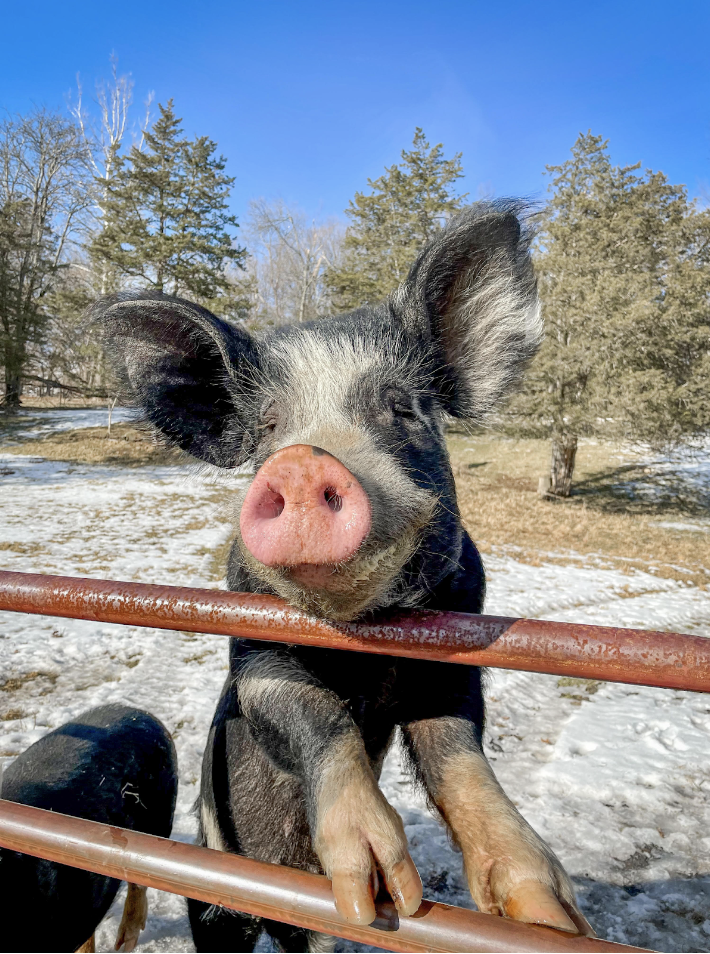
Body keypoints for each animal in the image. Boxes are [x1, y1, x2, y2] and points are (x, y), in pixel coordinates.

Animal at [93, 201, 594, 952]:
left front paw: (550, 915)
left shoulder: (452, 653)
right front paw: (377, 892)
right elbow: (310, 710)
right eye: (269, 427)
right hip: (211, 903)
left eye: (402, 407)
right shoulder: (252, 646)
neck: (362, 643)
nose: (303, 462)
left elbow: (457, 752)